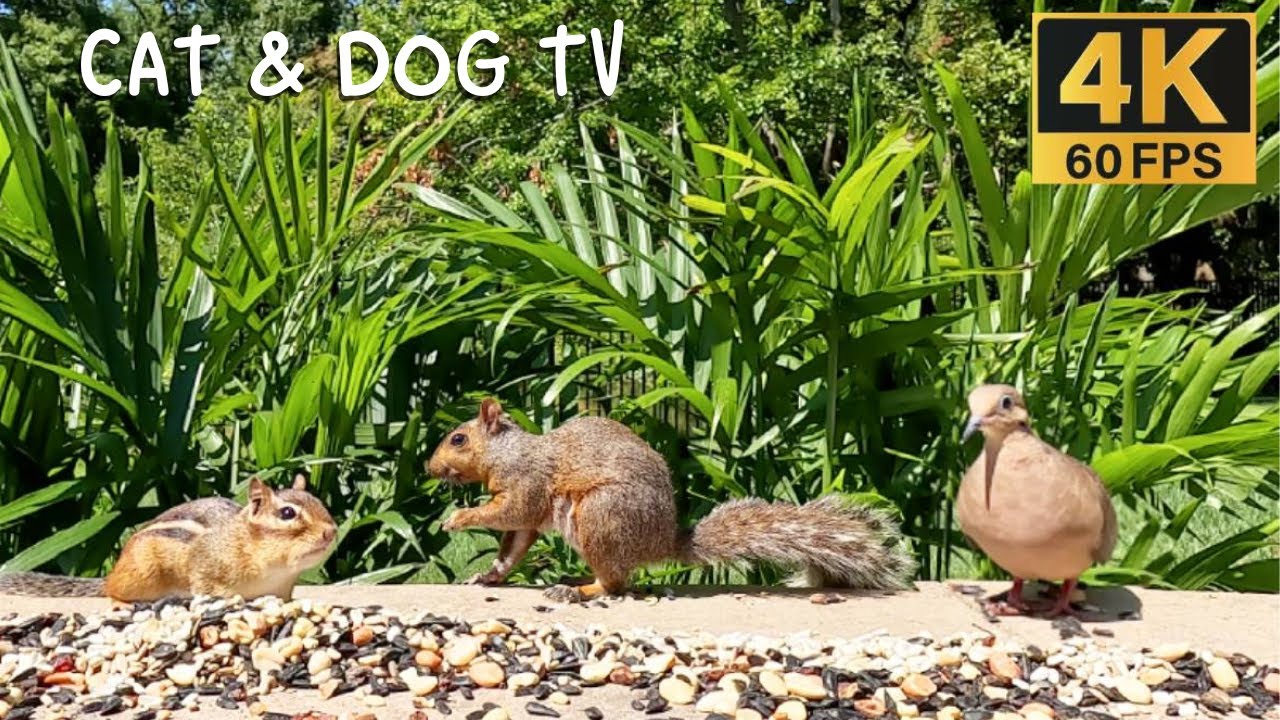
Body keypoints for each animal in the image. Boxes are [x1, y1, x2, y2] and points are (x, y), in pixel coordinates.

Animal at [0, 475, 336, 603]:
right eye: (287, 513)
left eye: (319, 502)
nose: (331, 531)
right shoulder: (206, 569)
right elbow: (209, 588)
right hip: (141, 574)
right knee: (112, 592)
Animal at [427, 398, 913, 602]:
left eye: (458, 439)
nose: (431, 468)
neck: (507, 451)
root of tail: (659, 543)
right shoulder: (527, 519)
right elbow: (513, 547)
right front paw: (487, 576)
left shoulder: (527, 483)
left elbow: (510, 512)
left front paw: (457, 518)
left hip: (600, 517)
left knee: (615, 584)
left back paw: (578, 589)